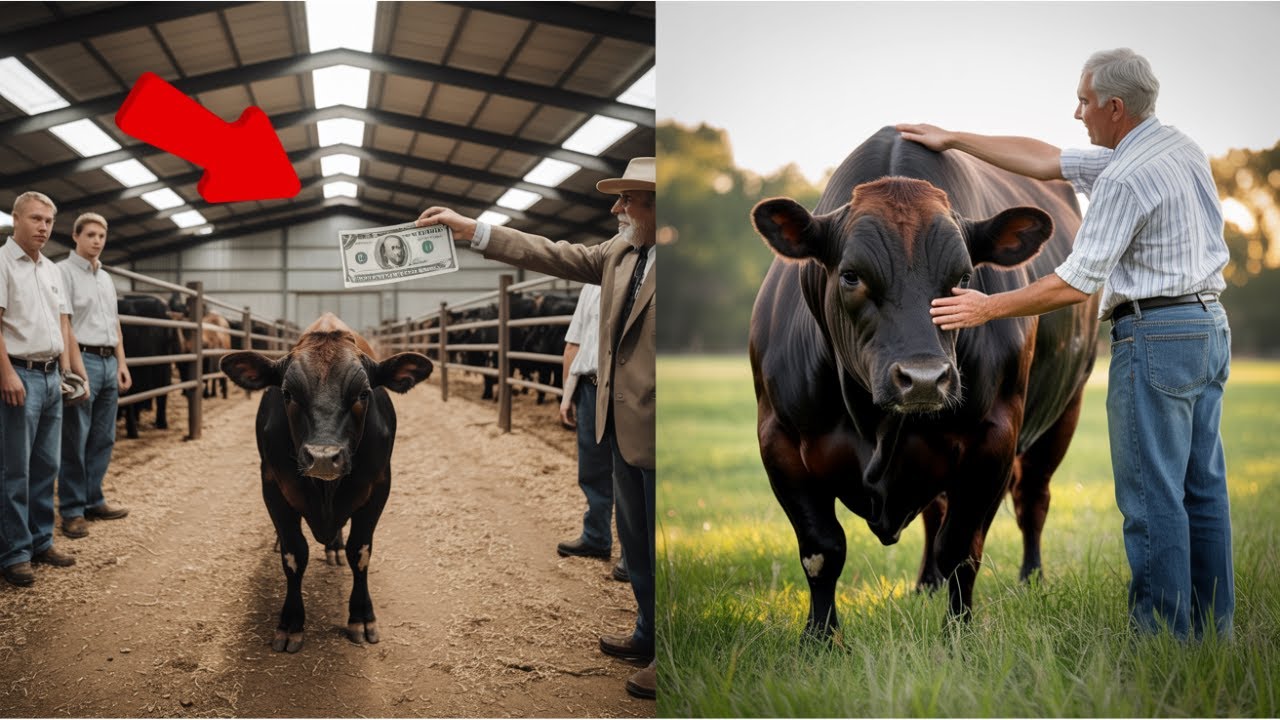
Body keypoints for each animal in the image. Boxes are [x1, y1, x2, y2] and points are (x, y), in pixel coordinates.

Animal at [220, 313, 433, 652]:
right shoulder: (273, 486)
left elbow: (360, 552)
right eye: (287, 394)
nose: (322, 457)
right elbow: (294, 554)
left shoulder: (379, 486)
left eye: (363, 394)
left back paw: (334, 546)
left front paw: (361, 616)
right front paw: (291, 621)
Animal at [749, 127, 1099, 638]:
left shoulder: (992, 439)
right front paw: (820, 638)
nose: (924, 380)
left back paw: (1031, 580)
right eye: (850, 276)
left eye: (964, 277)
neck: (873, 425)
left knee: (1031, 499)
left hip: (1063, 414)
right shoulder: (779, 439)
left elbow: (962, 549)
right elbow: (822, 551)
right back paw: (925, 585)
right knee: (936, 511)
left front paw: (958, 635)